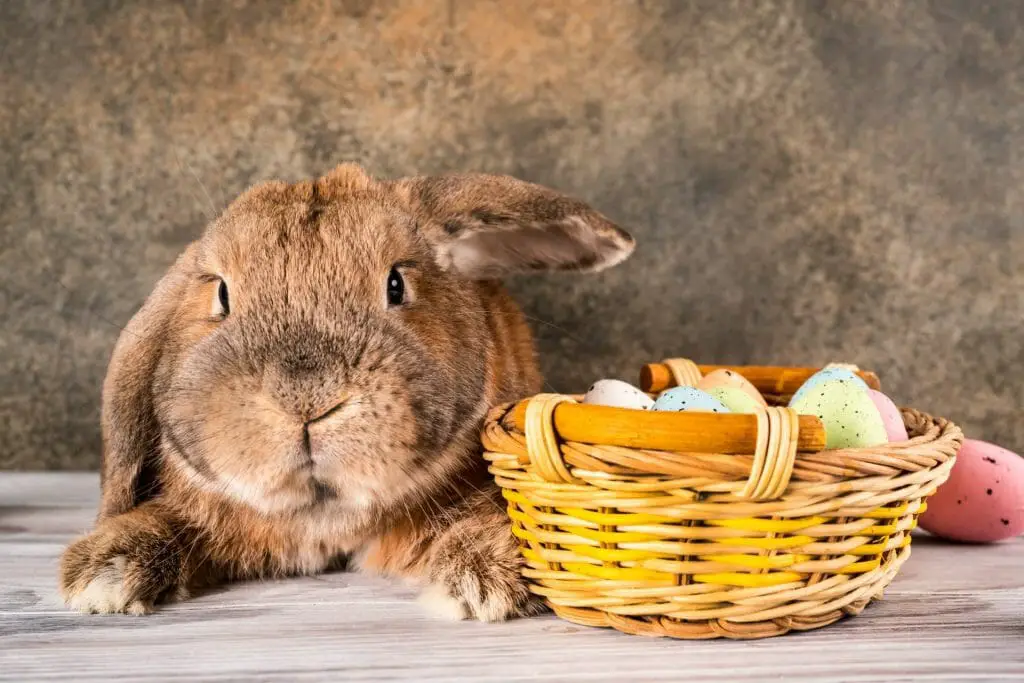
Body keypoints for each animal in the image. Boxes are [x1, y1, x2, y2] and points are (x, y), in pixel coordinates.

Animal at [59, 163, 634, 621]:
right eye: (220, 293)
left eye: (396, 284)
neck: (324, 517)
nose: (306, 399)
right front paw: (103, 575)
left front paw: (483, 579)